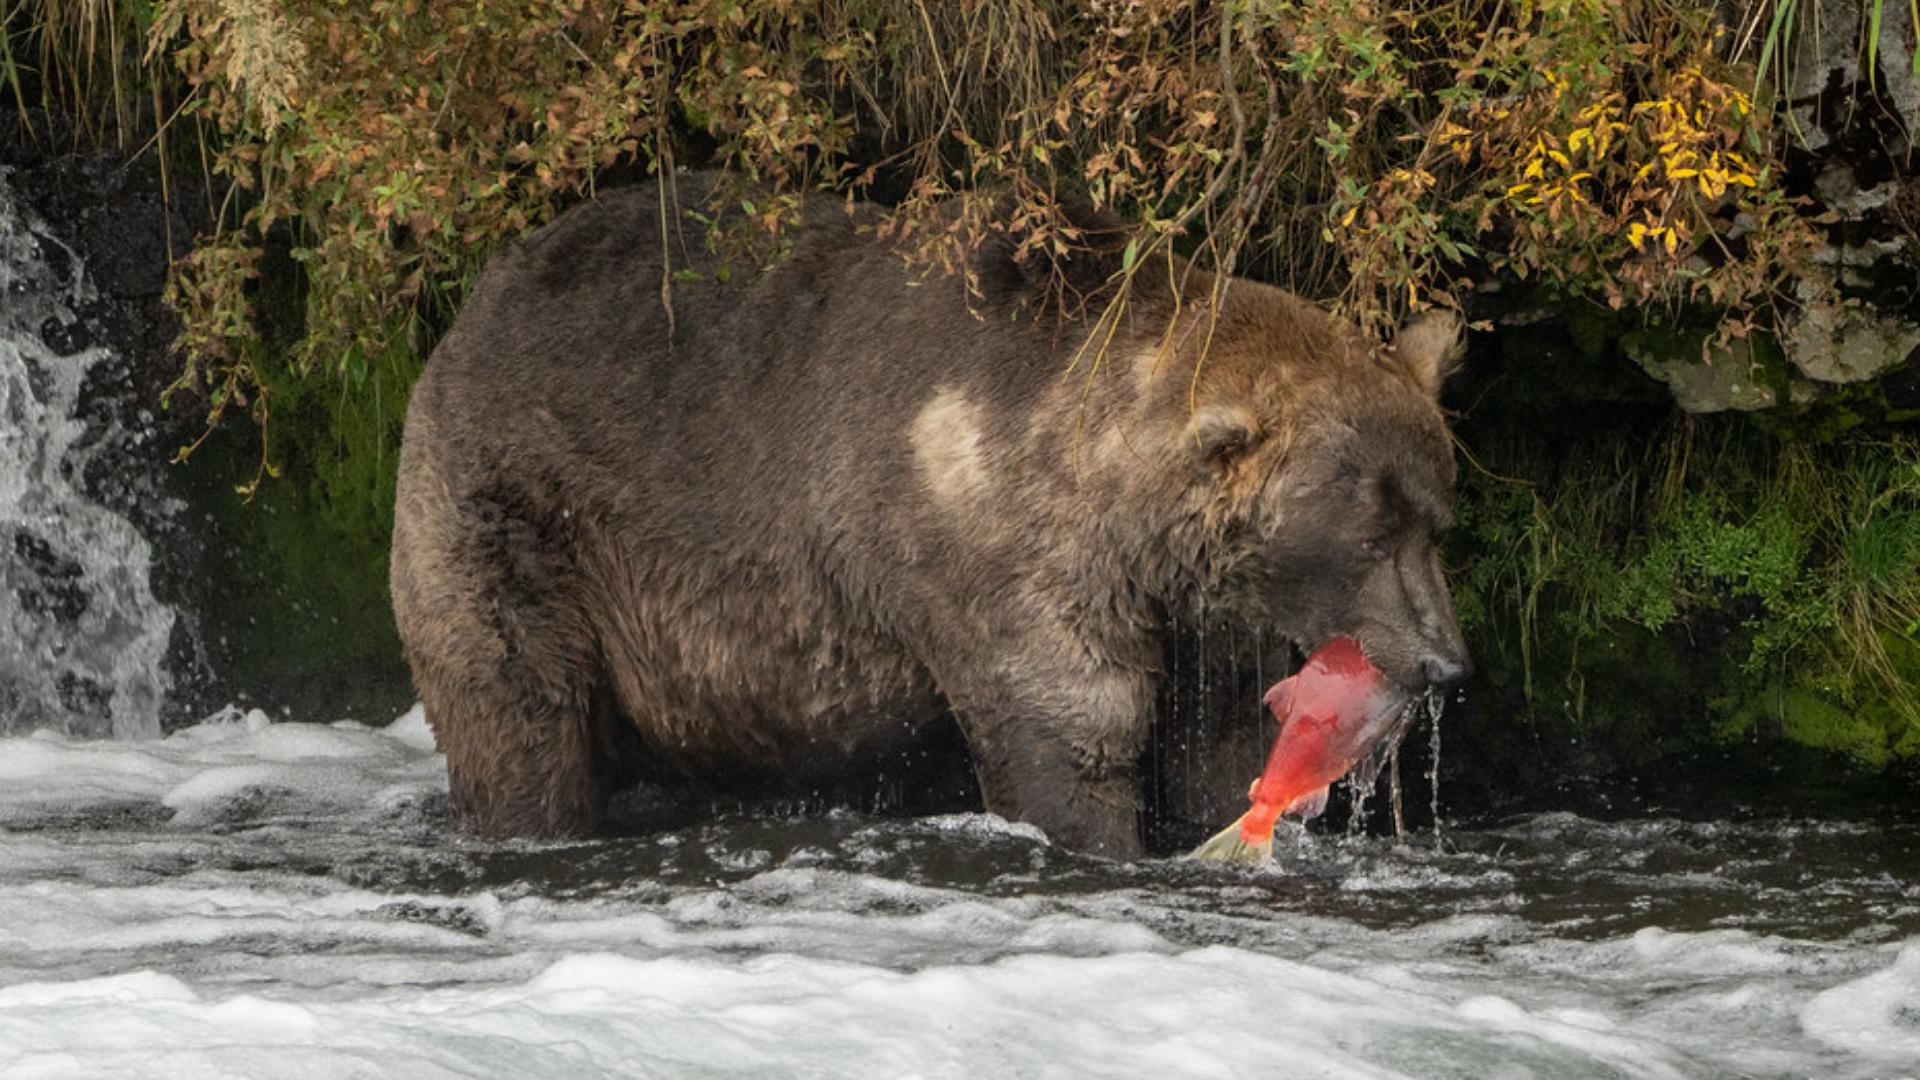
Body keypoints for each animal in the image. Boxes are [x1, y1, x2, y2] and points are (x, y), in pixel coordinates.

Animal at [389, 173, 1469, 857]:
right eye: (1369, 532)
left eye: (1435, 519)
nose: (1443, 661)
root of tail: (474, 303)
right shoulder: (1003, 551)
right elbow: (1074, 731)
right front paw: (1101, 836)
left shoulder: (1200, 607)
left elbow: (1217, 739)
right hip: (519, 515)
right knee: (519, 708)